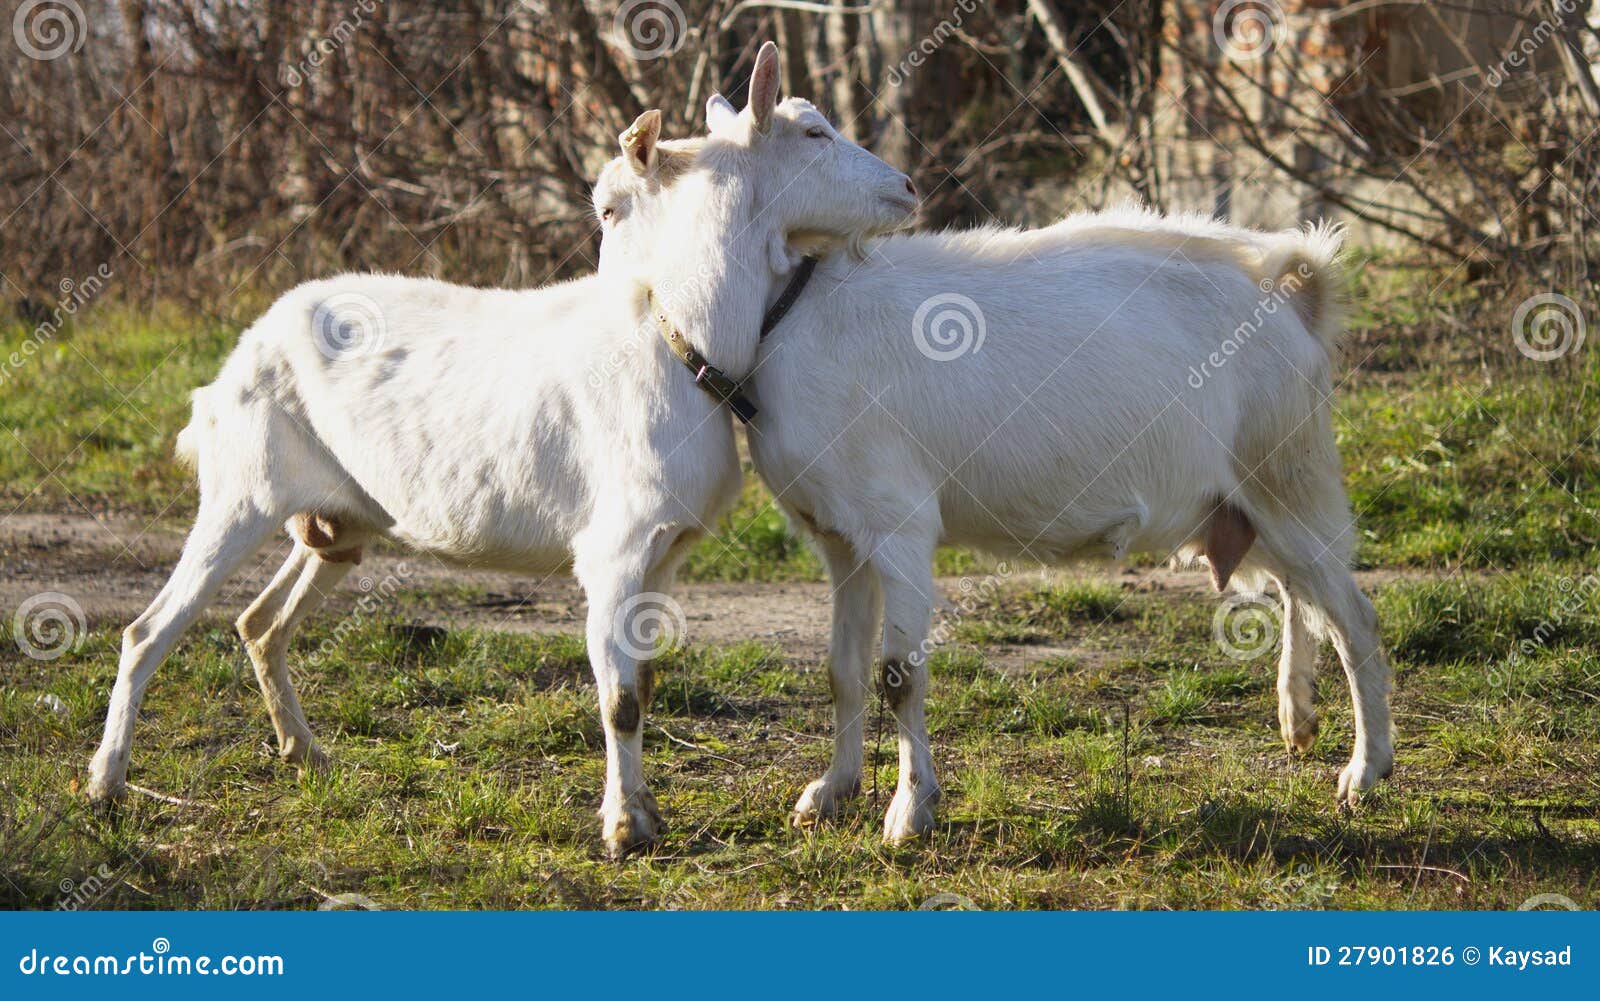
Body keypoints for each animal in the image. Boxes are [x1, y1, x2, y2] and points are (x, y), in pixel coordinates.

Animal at [85, 42, 917, 858]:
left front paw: (646, 811)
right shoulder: (612, 548)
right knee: (148, 629)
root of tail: (242, 351)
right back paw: (107, 784)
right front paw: (621, 829)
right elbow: (618, 699)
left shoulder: (665, 548)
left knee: (261, 621)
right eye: (812, 132)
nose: (908, 188)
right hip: (242, 489)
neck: (674, 339)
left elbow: (644, 686)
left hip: (334, 522)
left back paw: (306, 753)